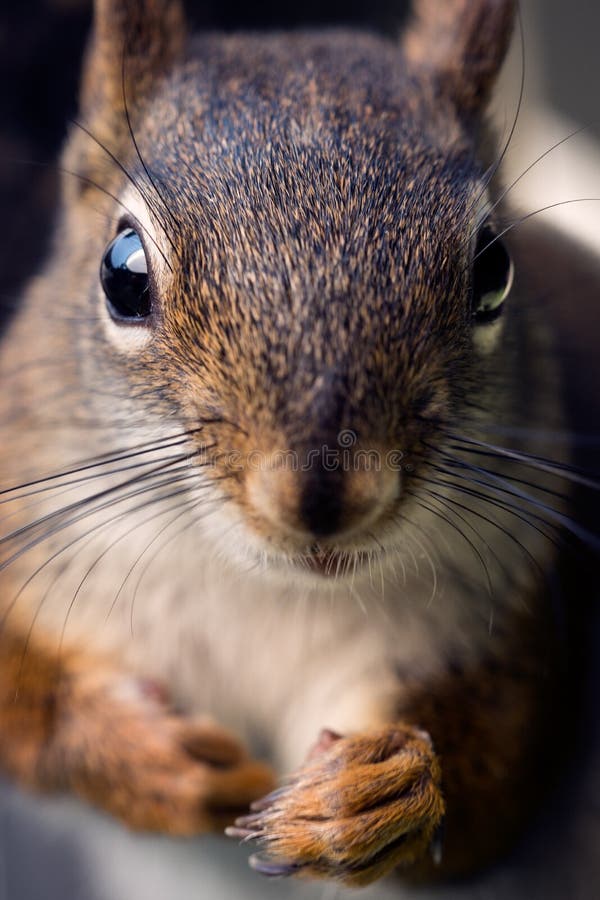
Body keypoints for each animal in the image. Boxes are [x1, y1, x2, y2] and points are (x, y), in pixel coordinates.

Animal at [0, 0, 596, 888]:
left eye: (494, 269)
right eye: (121, 272)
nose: (321, 497)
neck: (265, 591)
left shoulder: (502, 631)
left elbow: (491, 786)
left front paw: (382, 790)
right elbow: (21, 704)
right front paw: (142, 760)